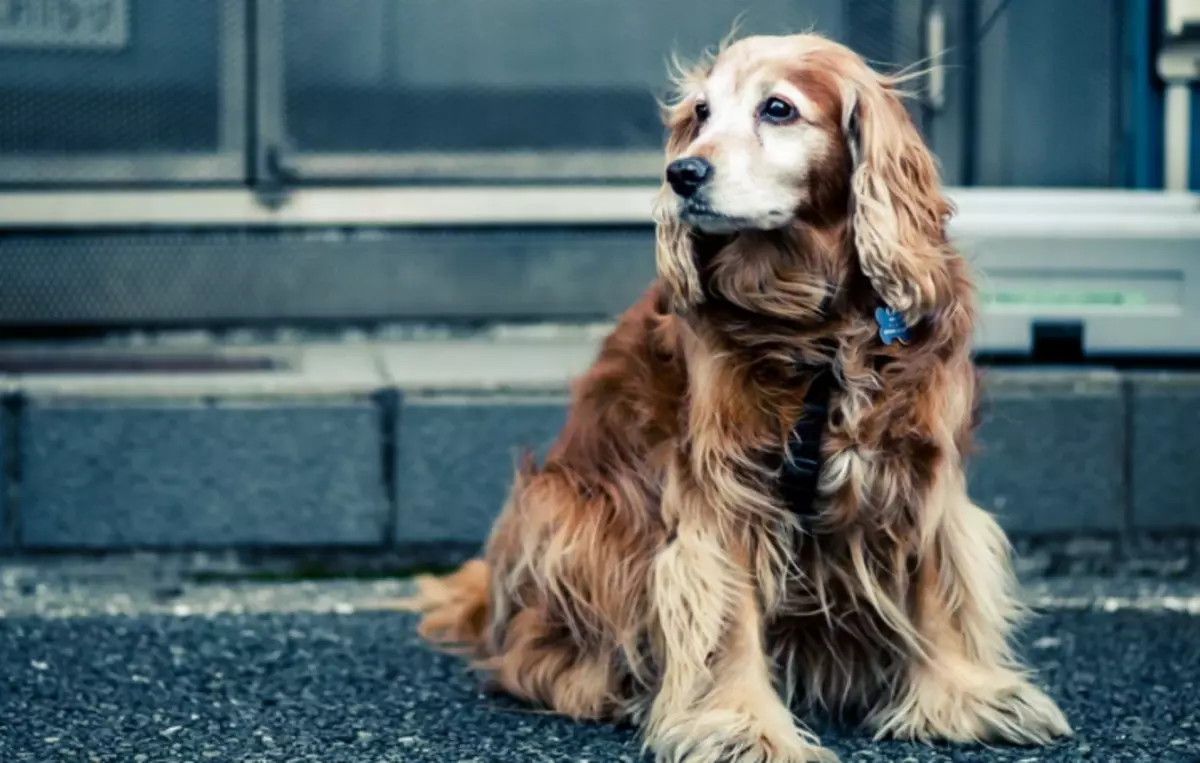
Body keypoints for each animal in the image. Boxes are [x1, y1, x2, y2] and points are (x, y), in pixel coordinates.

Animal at [408, 32, 1075, 758]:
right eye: (700, 113)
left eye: (777, 108)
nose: (682, 174)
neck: (818, 326)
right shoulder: (724, 485)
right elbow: (726, 615)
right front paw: (744, 725)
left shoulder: (919, 463)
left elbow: (938, 581)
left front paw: (965, 697)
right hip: (568, 512)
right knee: (534, 656)